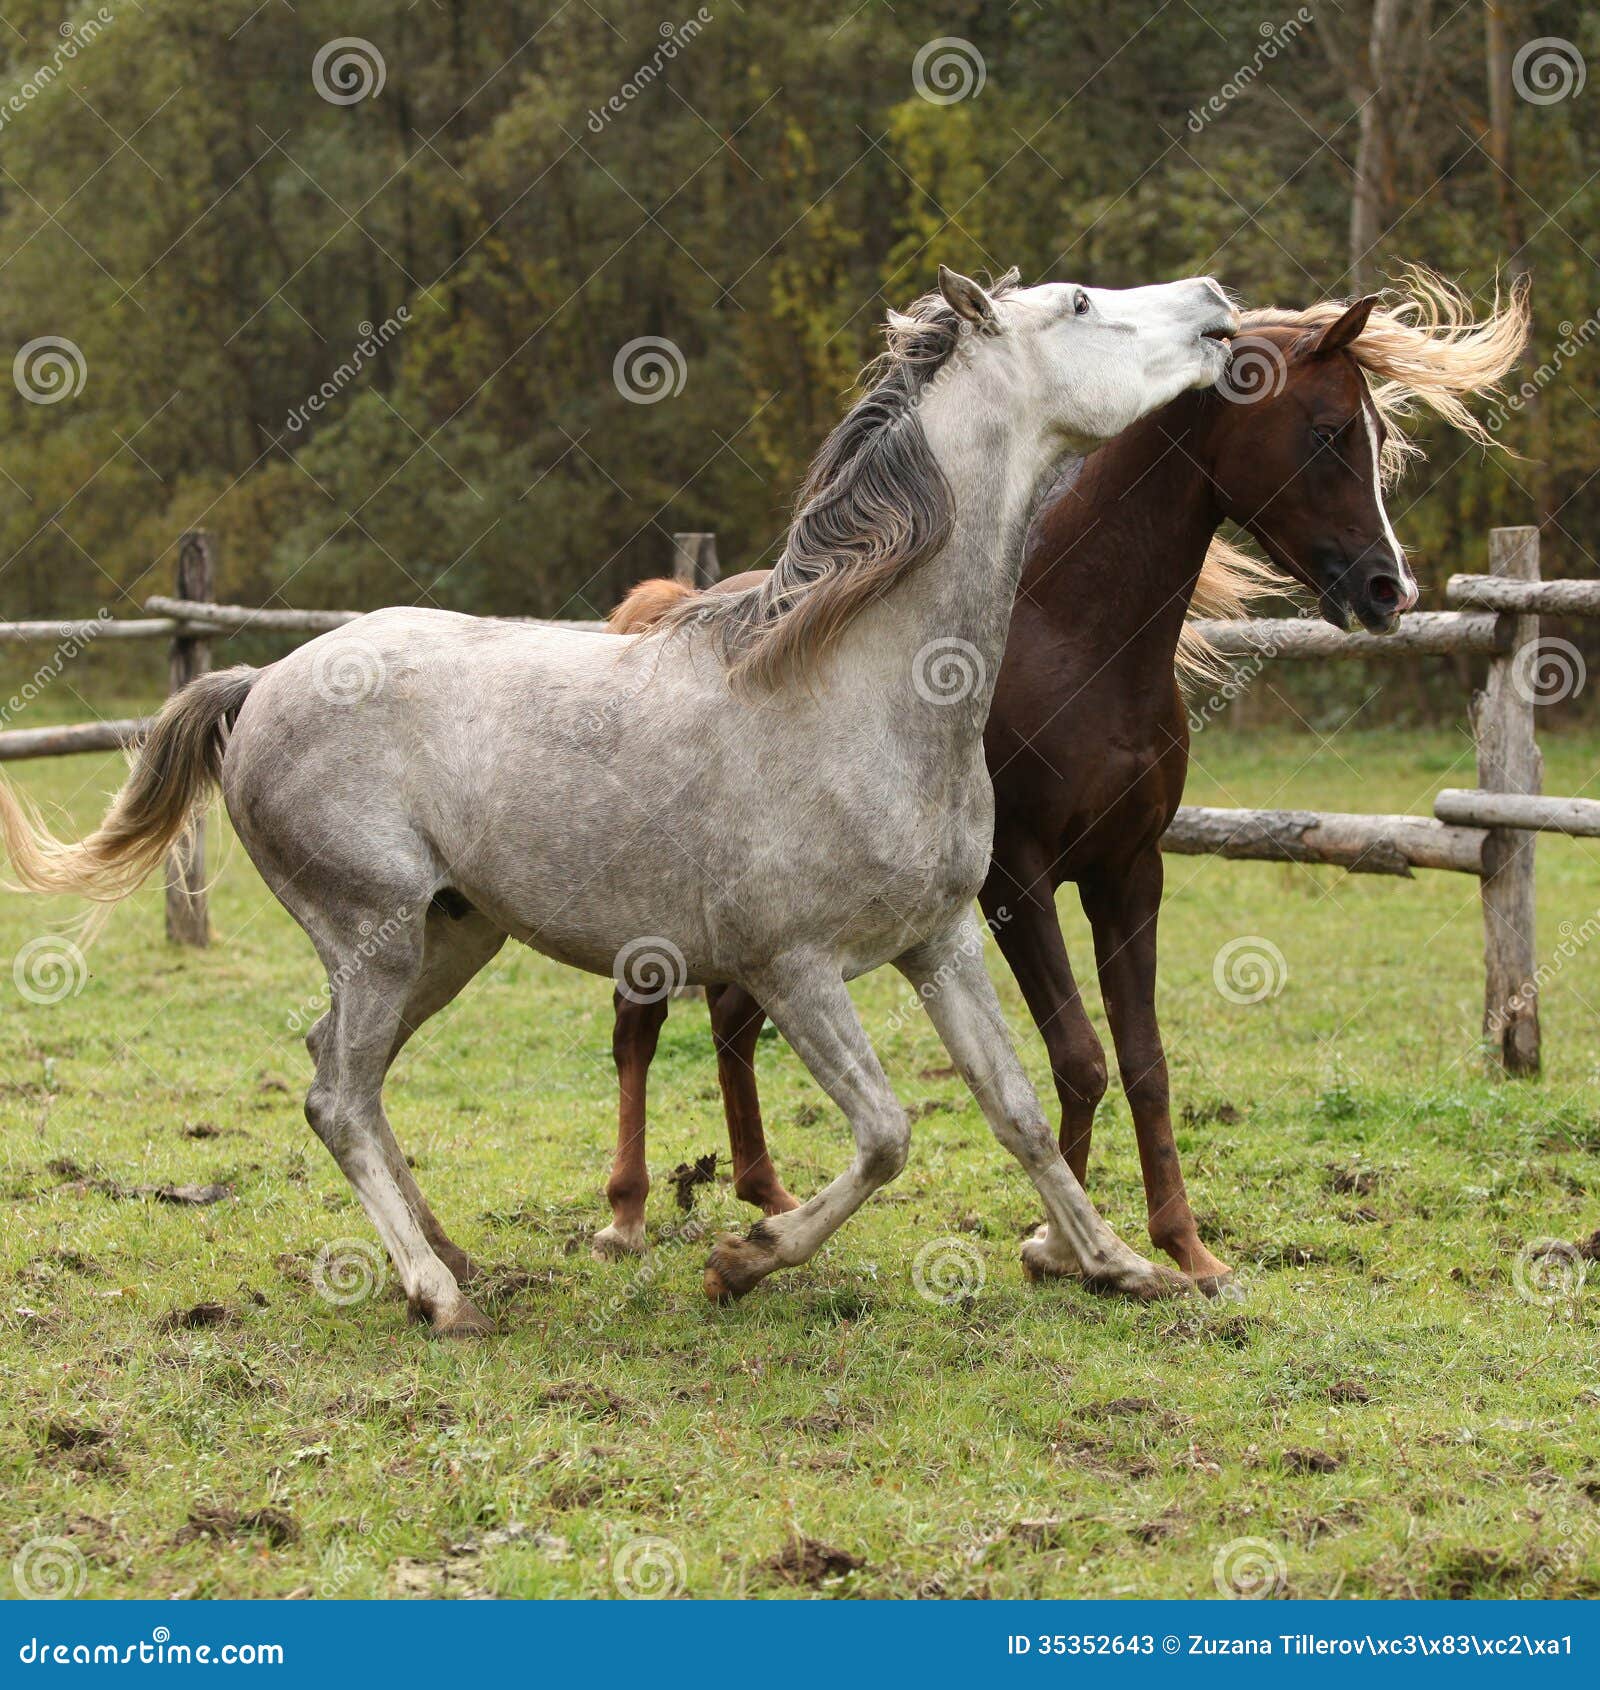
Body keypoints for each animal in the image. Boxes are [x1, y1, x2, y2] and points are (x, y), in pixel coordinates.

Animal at [0, 266, 1240, 1334]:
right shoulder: (793, 968)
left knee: (339, 1070)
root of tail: (259, 682)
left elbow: (1016, 1108)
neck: (861, 692)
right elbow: (887, 1132)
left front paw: (1116, 1264)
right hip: (376, 933)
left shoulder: (939, 942)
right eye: (1077, 303)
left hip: (449, 937)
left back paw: (449, 1255)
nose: (1218, 302)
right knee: (337, 1097)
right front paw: (743, 1259)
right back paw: (438, 1296)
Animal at [598, 270, 1528, 1289]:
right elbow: (1077, 1056)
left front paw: (1178, 1246)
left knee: (732, 1019)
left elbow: (1143, 1058)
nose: (1388, 590)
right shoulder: (1018, 879)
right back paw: (629, 1214)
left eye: (1376, 435)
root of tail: (678, 607)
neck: (1072, 638)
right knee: (641, 1029)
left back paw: (765, 1193)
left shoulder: (1130, 870)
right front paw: (1062, 1243)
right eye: (1326, 432)